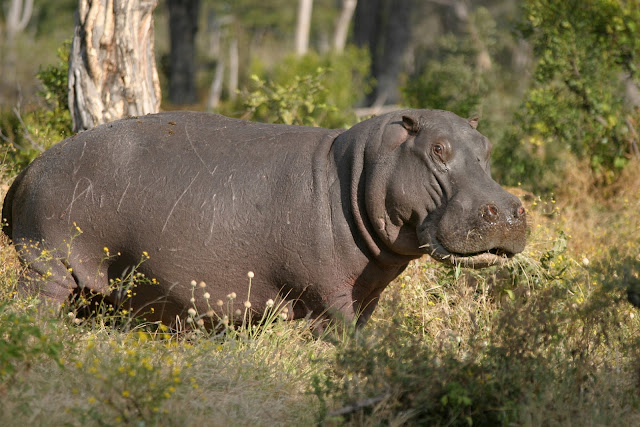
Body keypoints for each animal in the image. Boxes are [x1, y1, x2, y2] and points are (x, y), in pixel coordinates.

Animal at [2, 109, 526, 327]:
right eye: (438, 149)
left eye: (485, 147)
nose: (510, 210)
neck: (359, 174)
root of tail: (30, 166)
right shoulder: (328, 298)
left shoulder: (365, 299)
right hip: (46, 268)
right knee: (33, 309)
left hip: (97, 292)